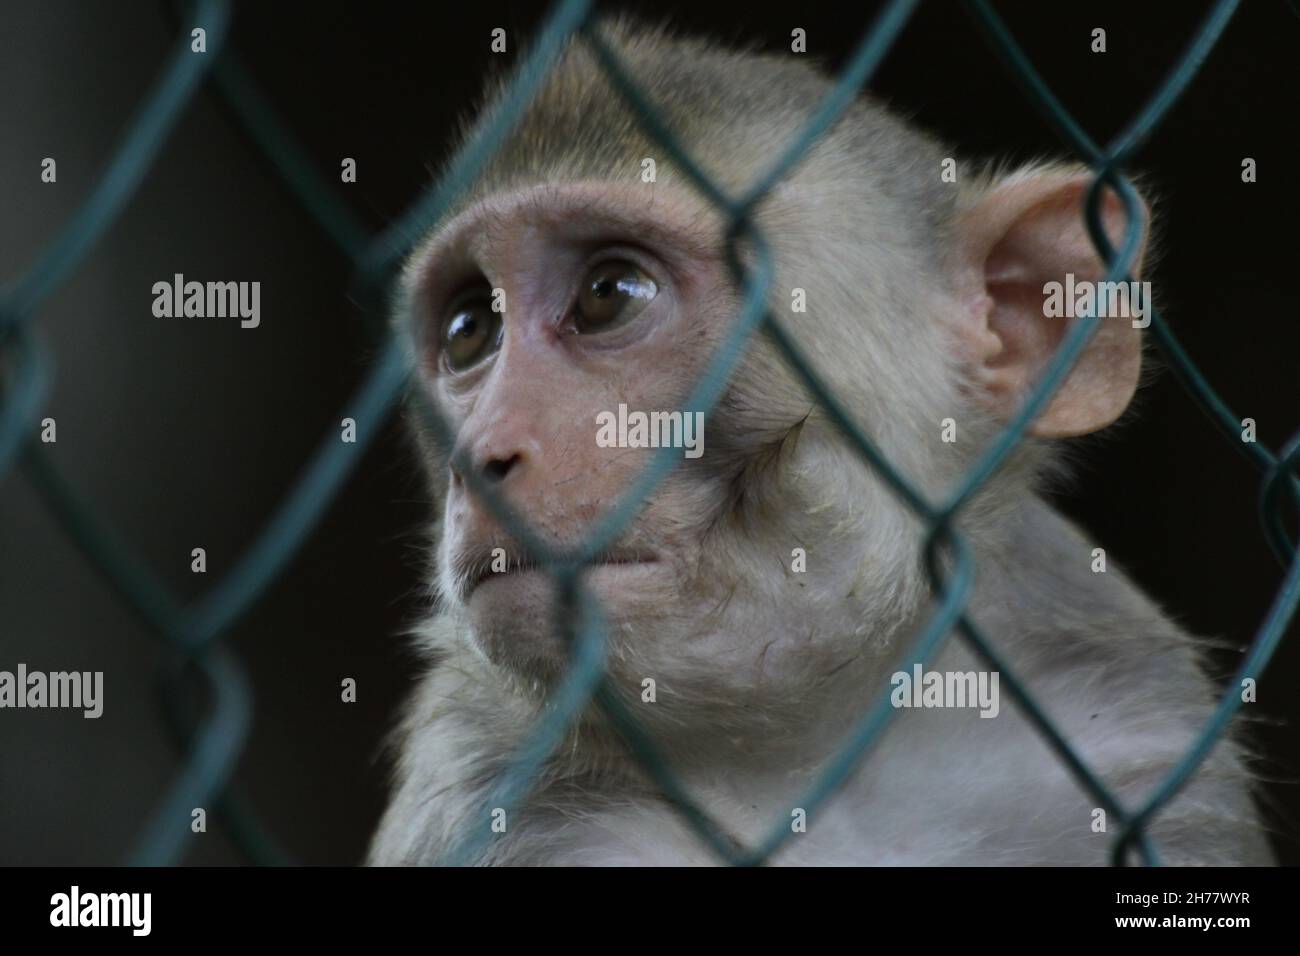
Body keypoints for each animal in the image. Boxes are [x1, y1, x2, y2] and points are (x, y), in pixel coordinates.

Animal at [367, 19, 1274, 866]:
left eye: (607, 294)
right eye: (470, 331)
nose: (480, 458)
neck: (812, 745)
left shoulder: (1136, 726)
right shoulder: (494, 792)